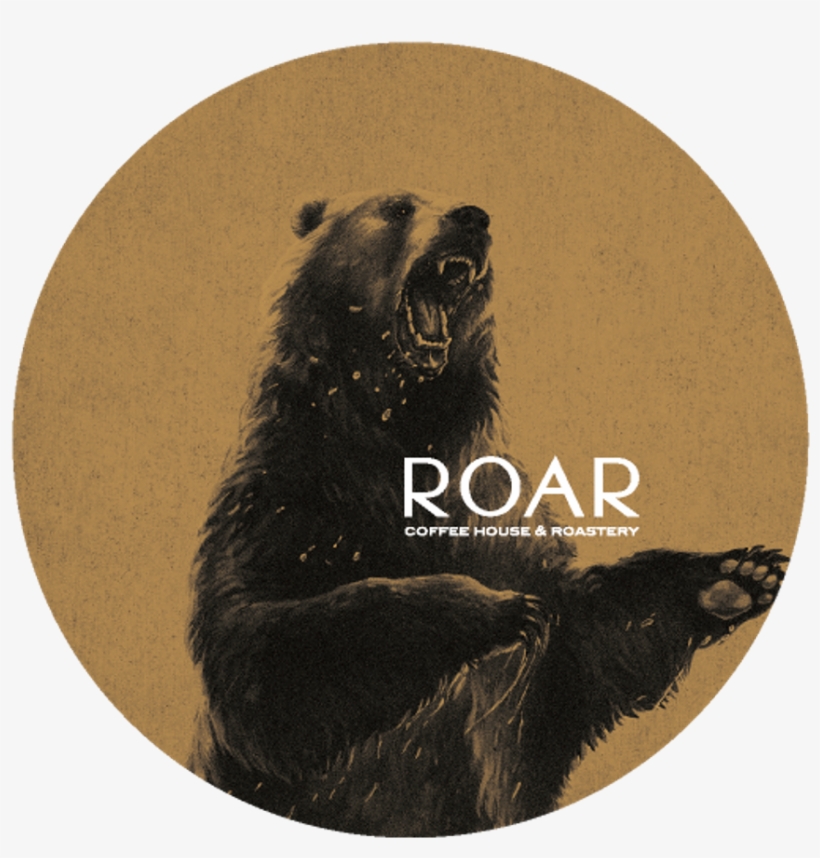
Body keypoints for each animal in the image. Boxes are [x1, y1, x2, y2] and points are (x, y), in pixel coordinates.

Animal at [187, 190, 787, 836]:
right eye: (397, 208)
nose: (472, 218)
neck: (403, 427)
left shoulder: (494, 510)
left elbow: (586, 639)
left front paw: (740, 575)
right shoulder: (289, 496)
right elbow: (262, 654)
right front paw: (492, 609)